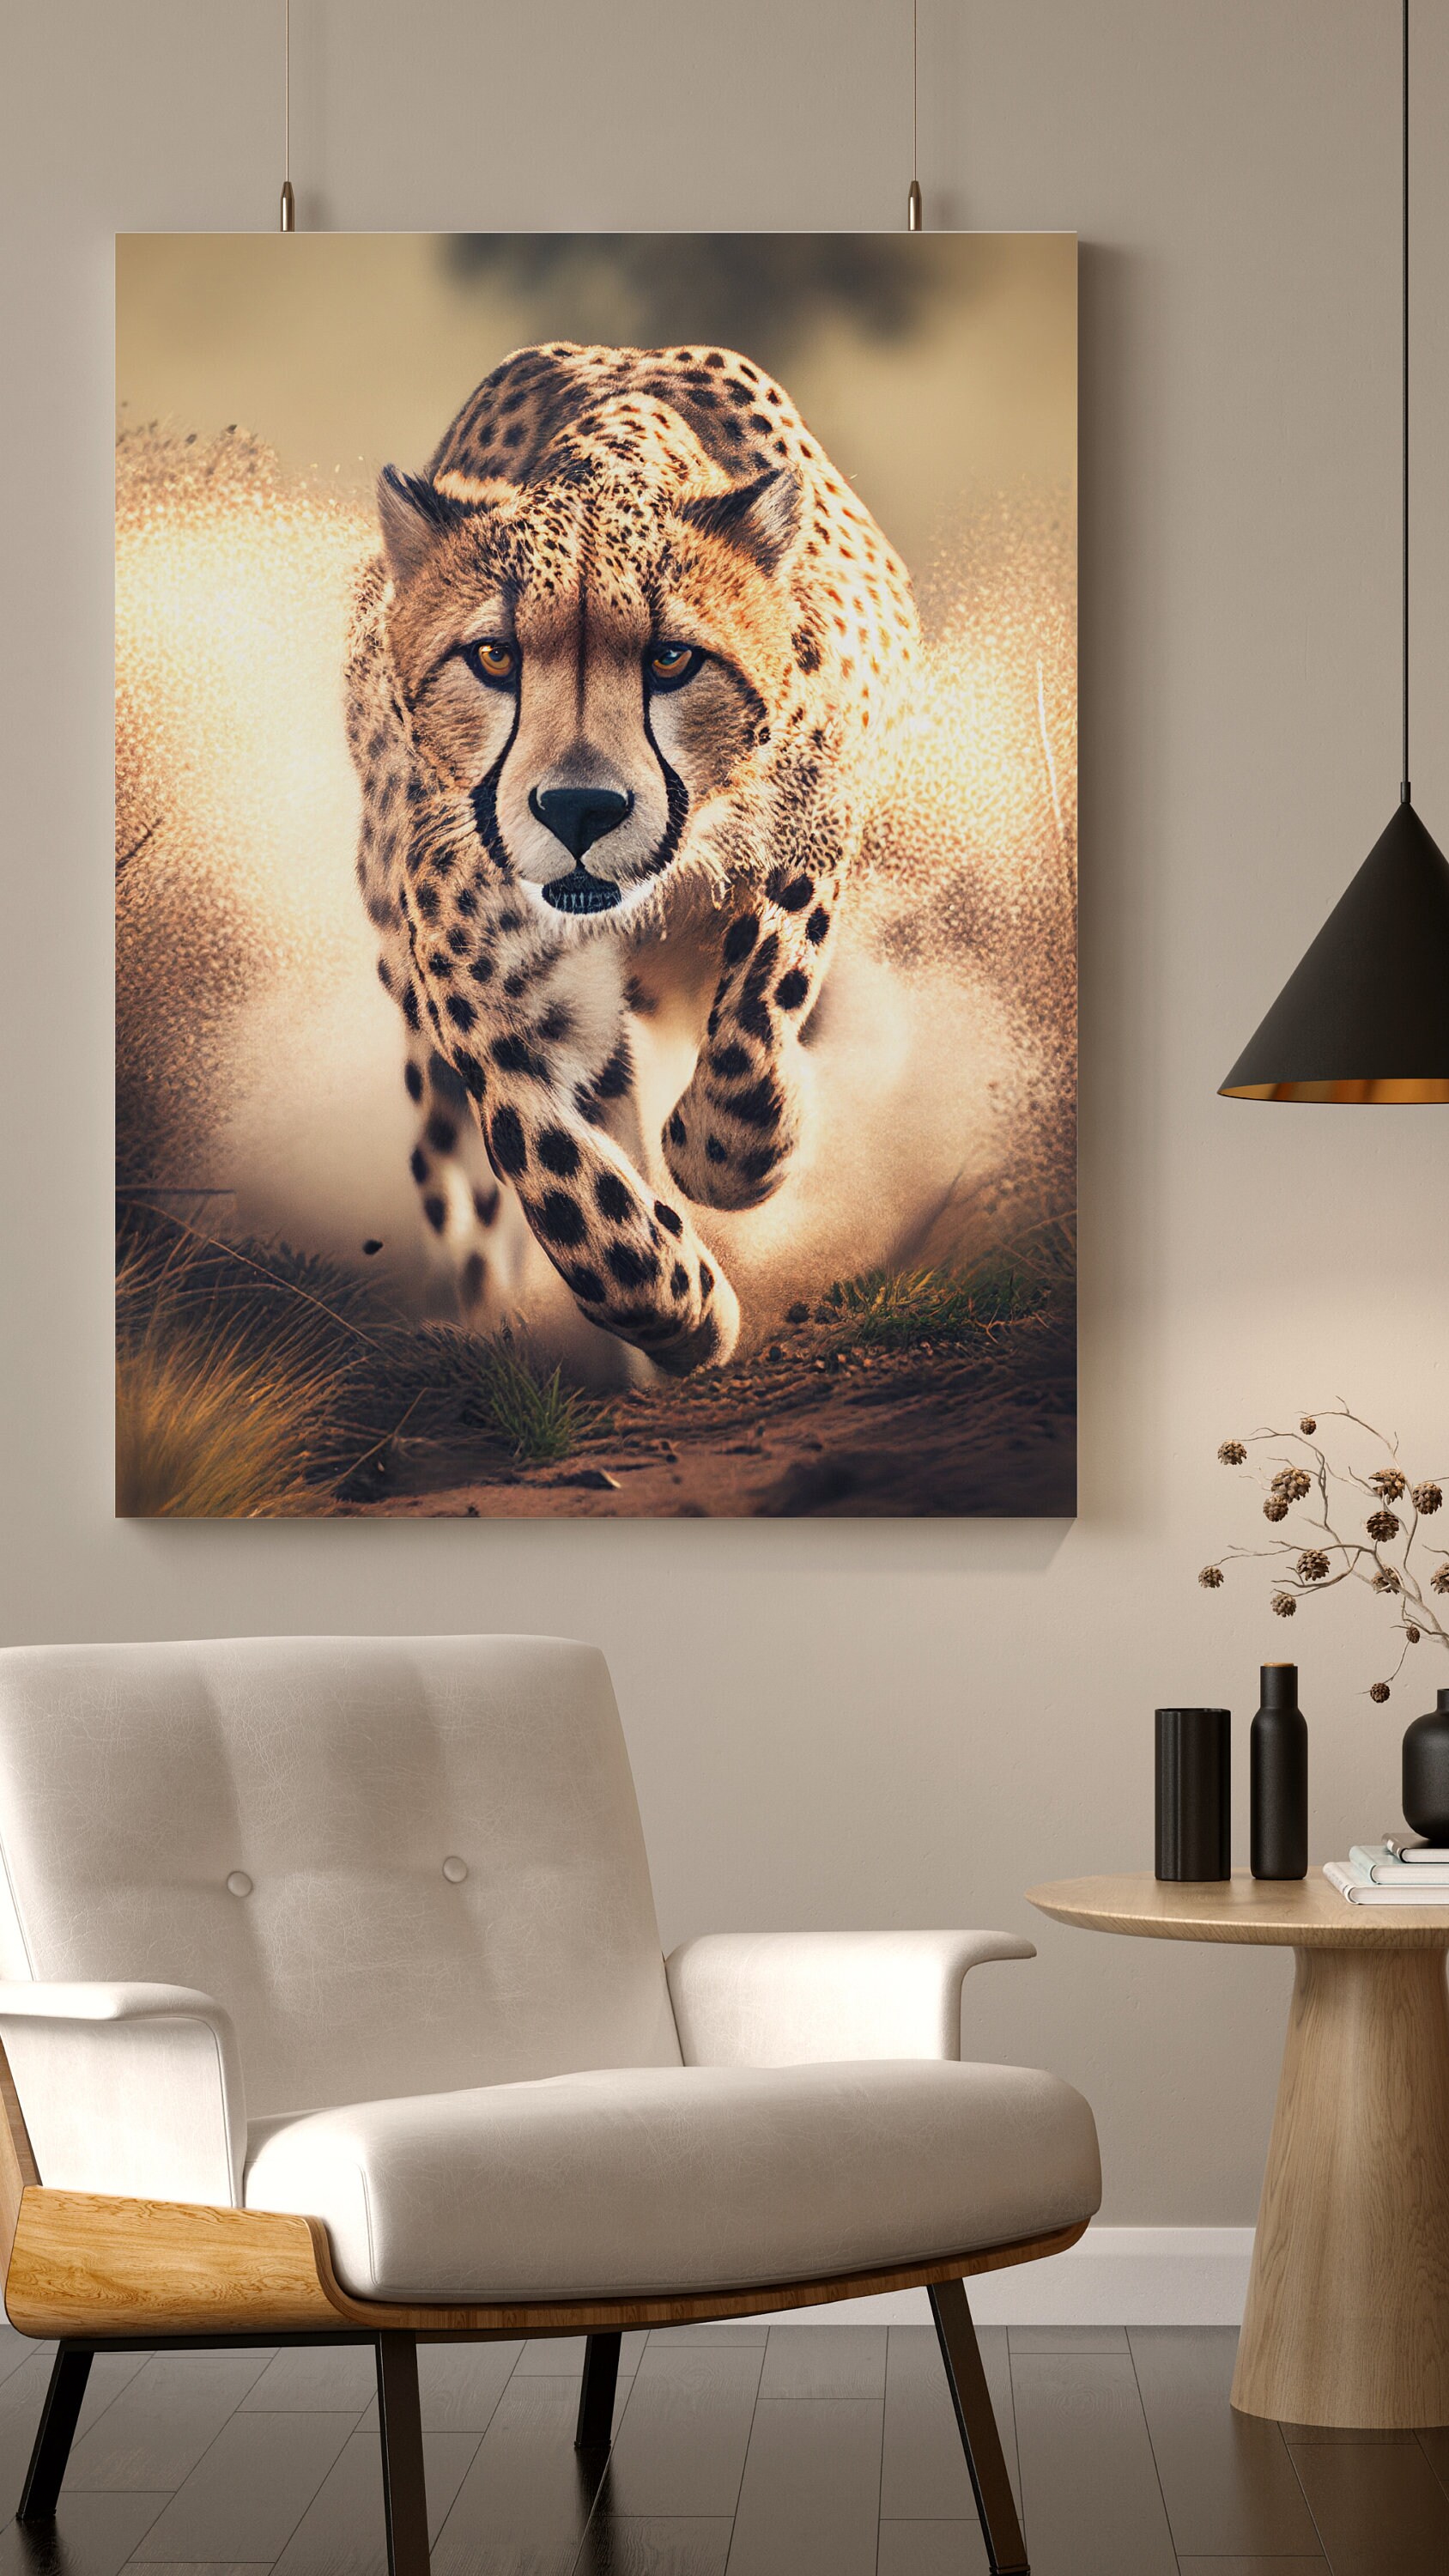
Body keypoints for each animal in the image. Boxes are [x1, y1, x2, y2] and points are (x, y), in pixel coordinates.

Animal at [346, 339, 920, 1373]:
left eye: (671, 660)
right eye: (494, 658)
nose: (580, 808)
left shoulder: (813, 832)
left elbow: (754, 1024)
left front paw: (721, 1155)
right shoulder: (493, 1005)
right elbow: (563, 1183)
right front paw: (679, 1308)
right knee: (456, 1170)